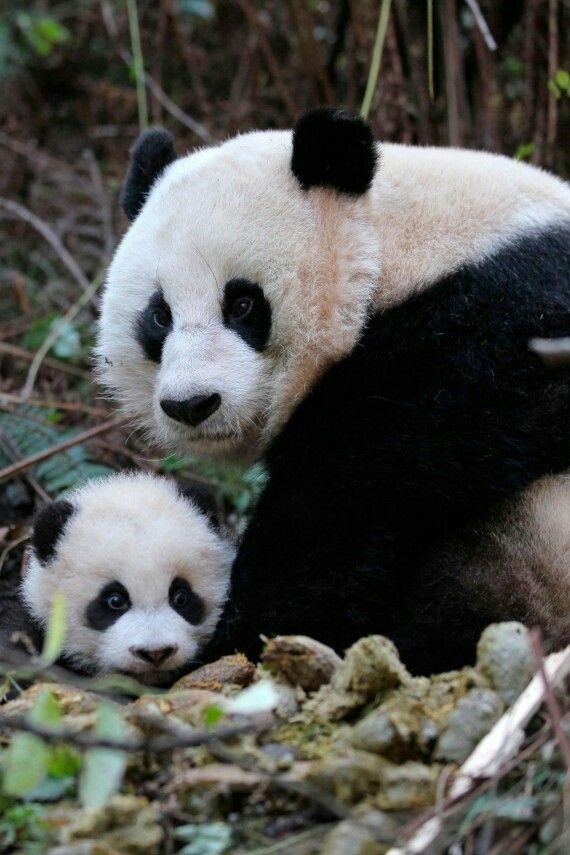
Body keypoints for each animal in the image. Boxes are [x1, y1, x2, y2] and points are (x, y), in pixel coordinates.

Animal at [97, 109, 570, 673]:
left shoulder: (492, 333)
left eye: (242, 304)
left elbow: (355, 489)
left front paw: (241, 632)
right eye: (158, 316)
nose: (192, 404)